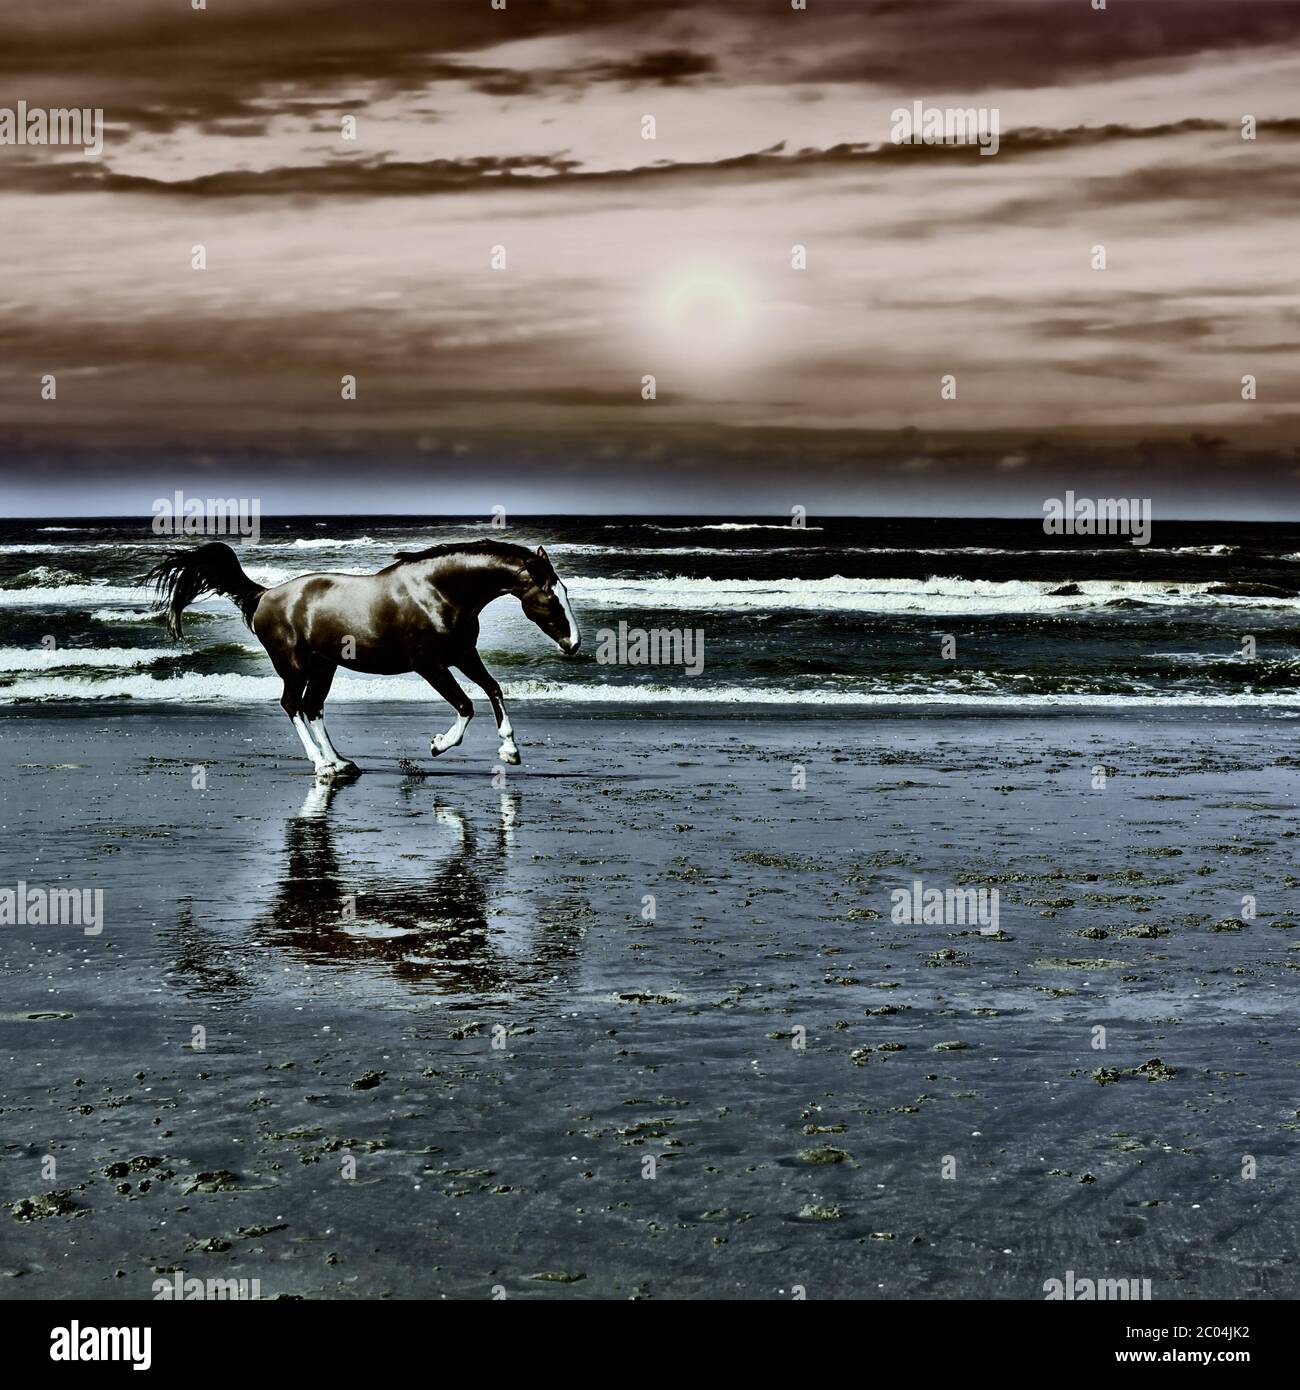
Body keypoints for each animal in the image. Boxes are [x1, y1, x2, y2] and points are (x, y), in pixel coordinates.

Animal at [145, 538, 580, 777]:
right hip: (294, 666)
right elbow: (465, 705)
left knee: (312, 707)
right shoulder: (429, 664)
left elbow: (494, 690)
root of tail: (263, 595)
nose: (574, 643)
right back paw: (321, 765)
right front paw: (438, 745)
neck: (438, 592)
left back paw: (340, 763)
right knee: (292, 705)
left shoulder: (463, 654)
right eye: (550, 597)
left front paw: (510, 751)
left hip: (325, 666)